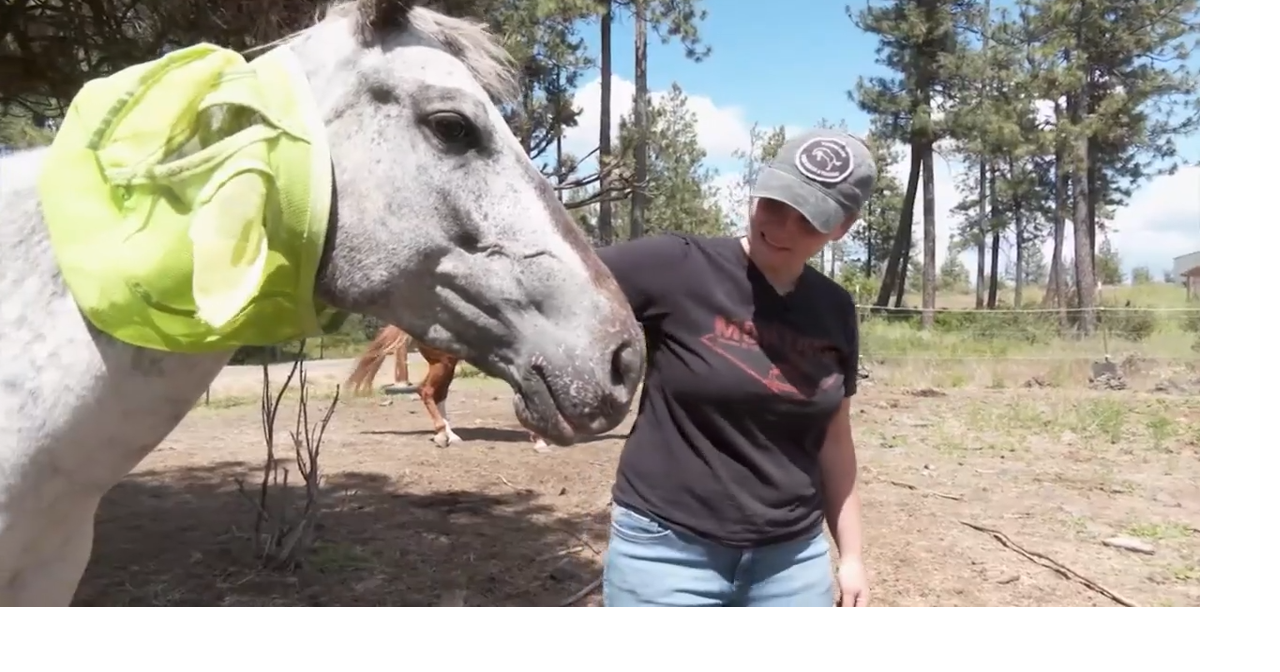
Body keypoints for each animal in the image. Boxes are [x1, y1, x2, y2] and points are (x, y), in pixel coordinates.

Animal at [345, 324, 550, 450]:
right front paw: (539, 440)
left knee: (439, 395)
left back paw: (451, 436)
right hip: (443, 363)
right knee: (426, 391)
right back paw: (442, 434)